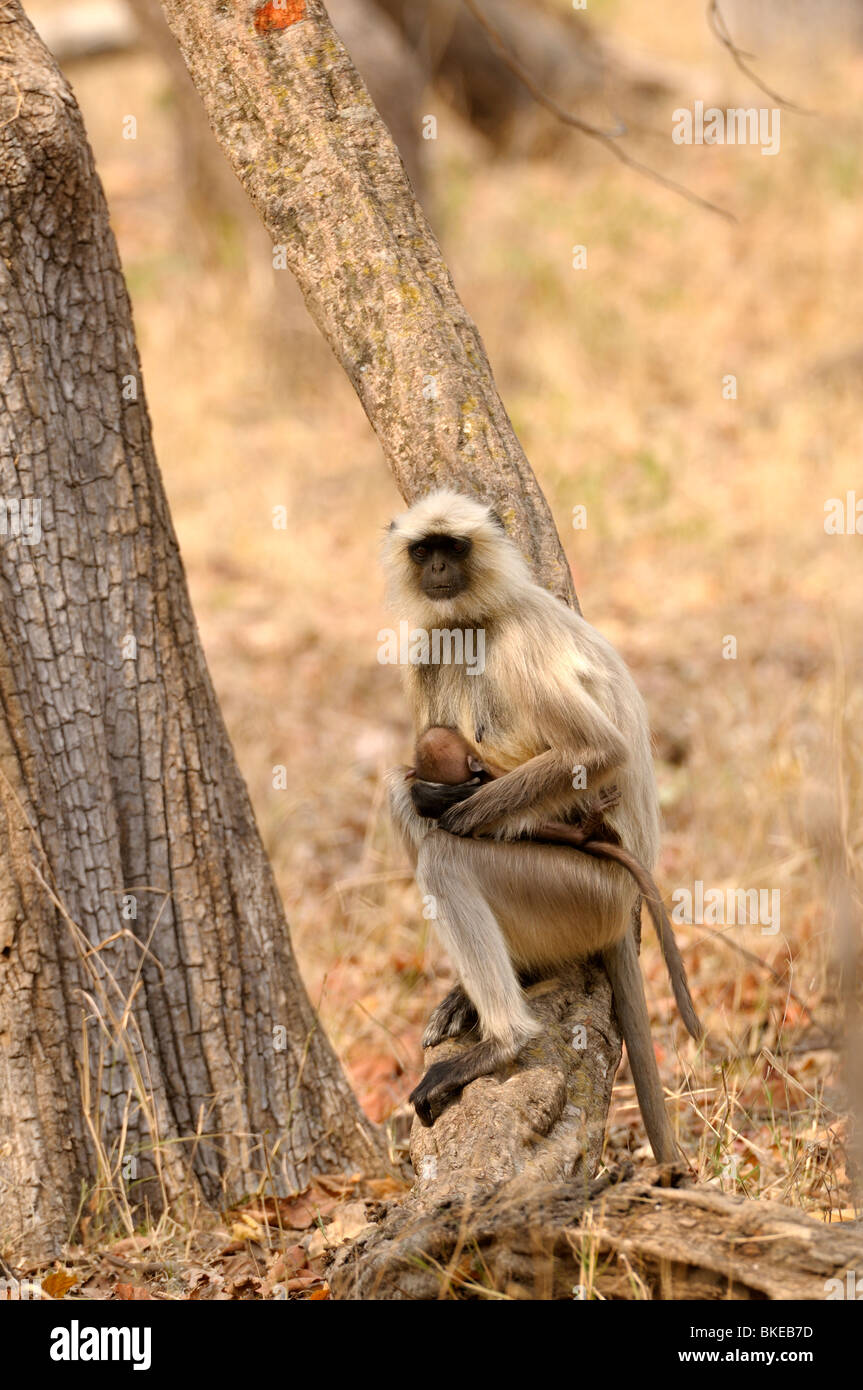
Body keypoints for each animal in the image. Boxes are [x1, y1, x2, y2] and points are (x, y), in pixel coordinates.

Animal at [382, 489, 702, 1162]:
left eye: (454, 547)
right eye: (425, 550)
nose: (439, 569)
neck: (476, 622)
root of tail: (630, 892)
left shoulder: (519, 642)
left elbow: (596, 752)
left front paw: (457, 807)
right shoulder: (428, 645)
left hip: (584, 890)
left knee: (445, 854)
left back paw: (504, 1039)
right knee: (403, 800)